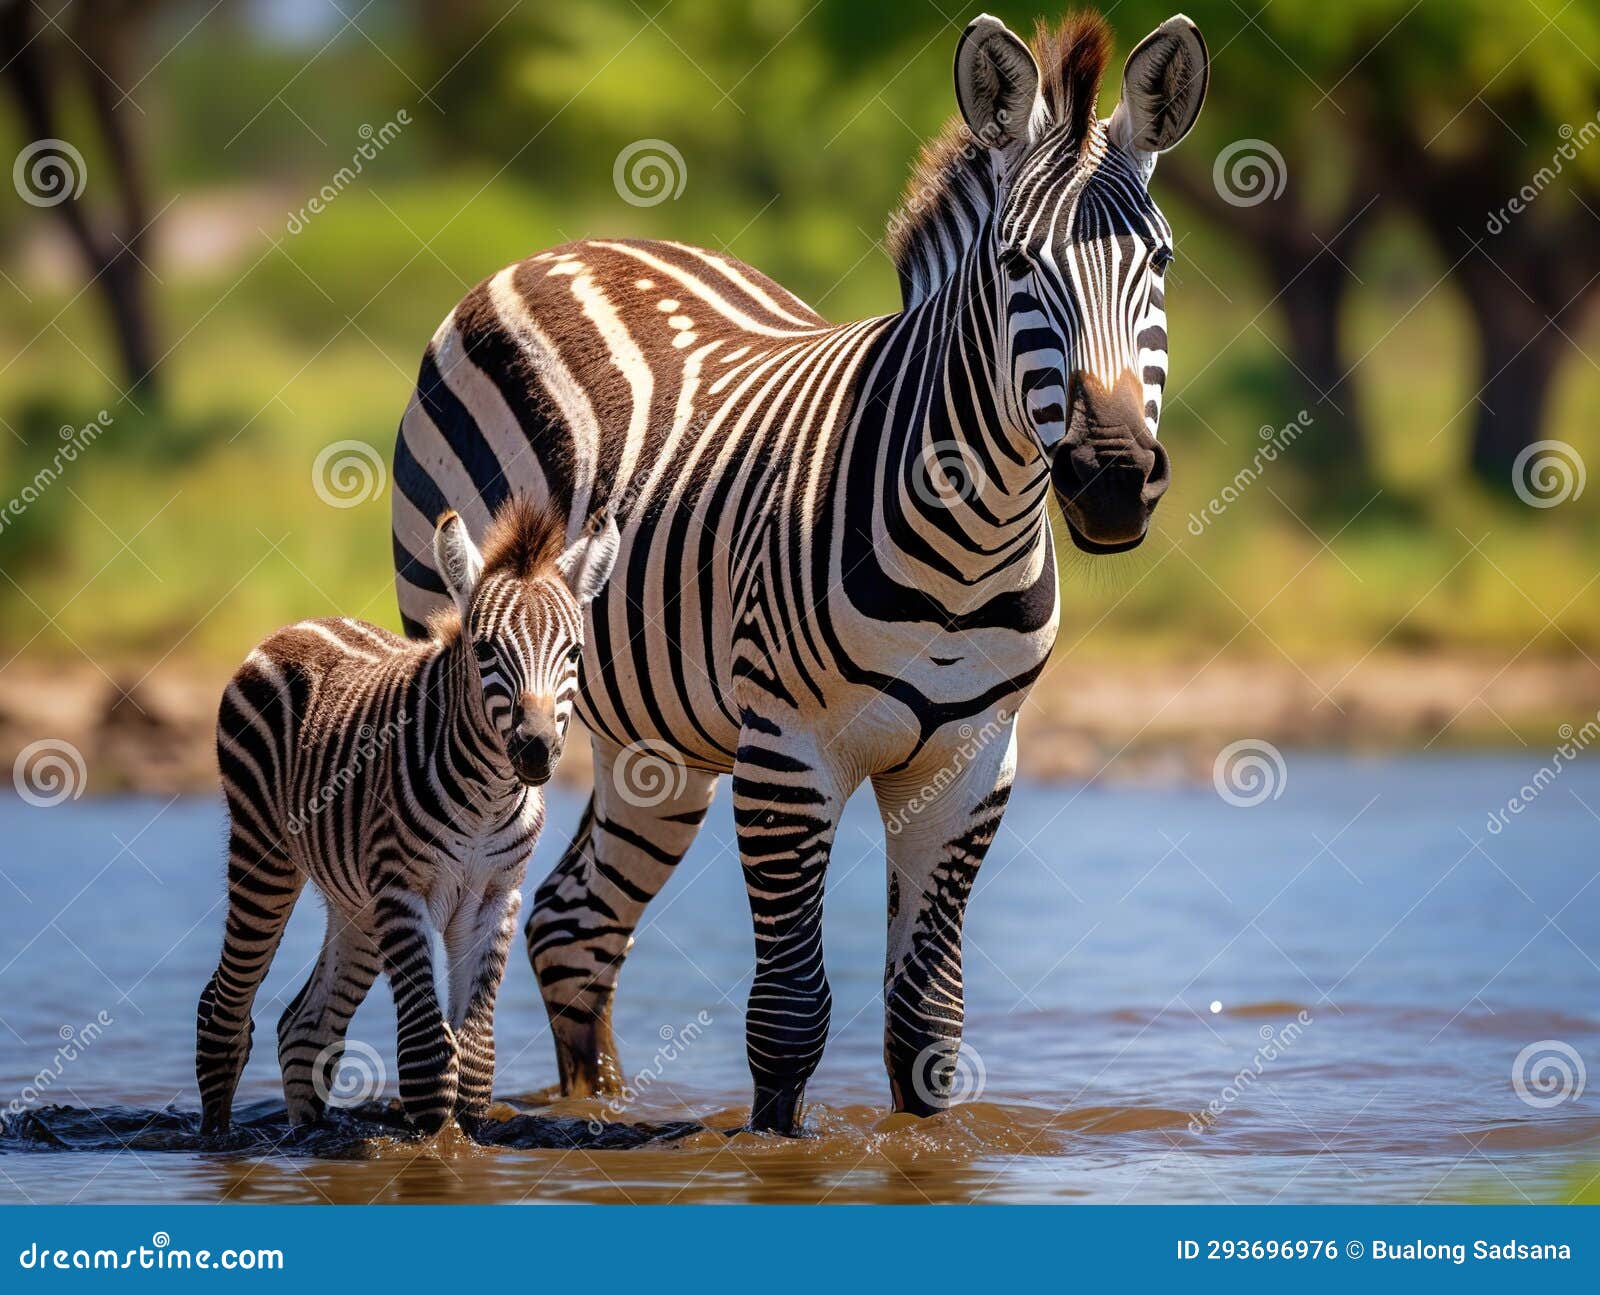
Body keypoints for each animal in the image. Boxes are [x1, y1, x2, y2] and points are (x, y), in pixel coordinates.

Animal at [195, 498, 619, 1135]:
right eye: (485, 650)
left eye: (573, 653)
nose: (536, 750)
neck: (489, 798)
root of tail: (297, 624)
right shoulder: (403, 891)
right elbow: (428, 1057)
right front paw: (433, 1147)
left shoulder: (496, 897)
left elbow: (473, 1059)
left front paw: (464, 1141)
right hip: (264, 854)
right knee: (223, 1009)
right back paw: (216, 1142)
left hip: (355, 900)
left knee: (306, 1027)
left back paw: (309, 1137)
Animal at [389, 10, 1208, 1133]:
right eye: (1013, 264)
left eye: (1159, 261)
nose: (1114, 479)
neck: (970, 545)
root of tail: (573, 247)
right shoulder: (788, 752)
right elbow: (787, 1013)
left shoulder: (970, 760)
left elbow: (927, 1022)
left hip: (653, 740)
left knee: (575, 922)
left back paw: (595, 1108)